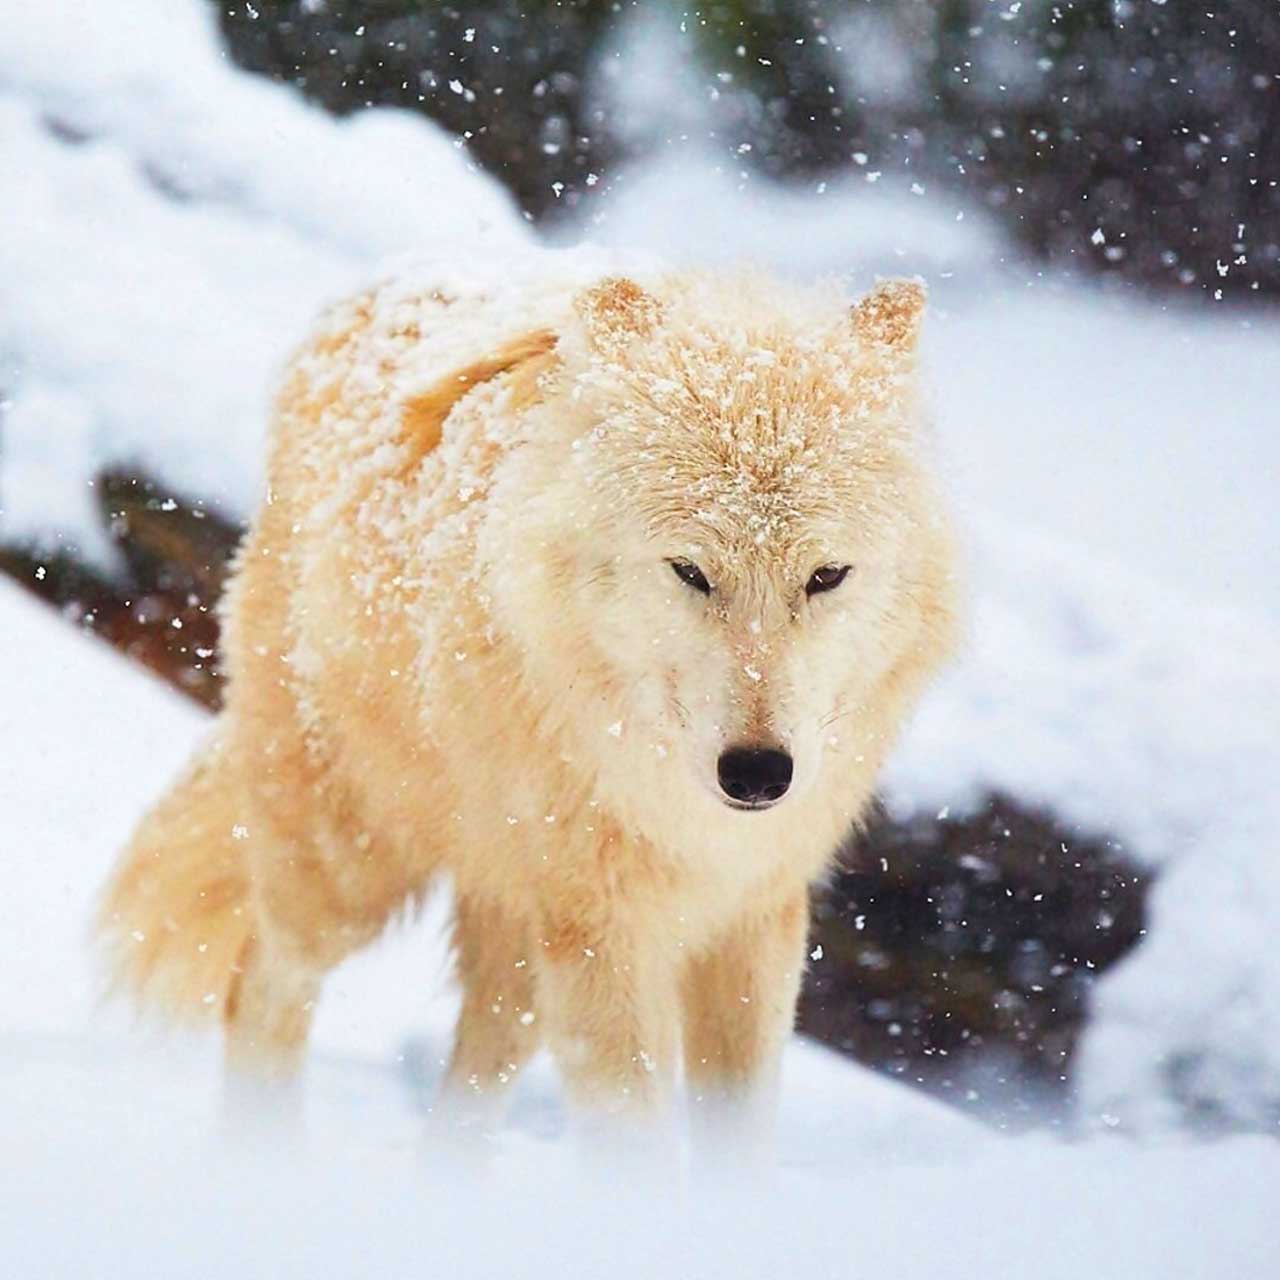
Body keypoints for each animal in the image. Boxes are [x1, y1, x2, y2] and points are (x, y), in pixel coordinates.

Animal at [98, 262, 958, 1145]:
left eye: (826, 576)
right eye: (690, 571)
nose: (758, 773)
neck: (684, 821)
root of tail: (369, 294)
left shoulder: (754, 919)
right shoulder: (607, 934)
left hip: (517, 947)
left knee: (470, 1083)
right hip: (351, 868)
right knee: (261, 989)